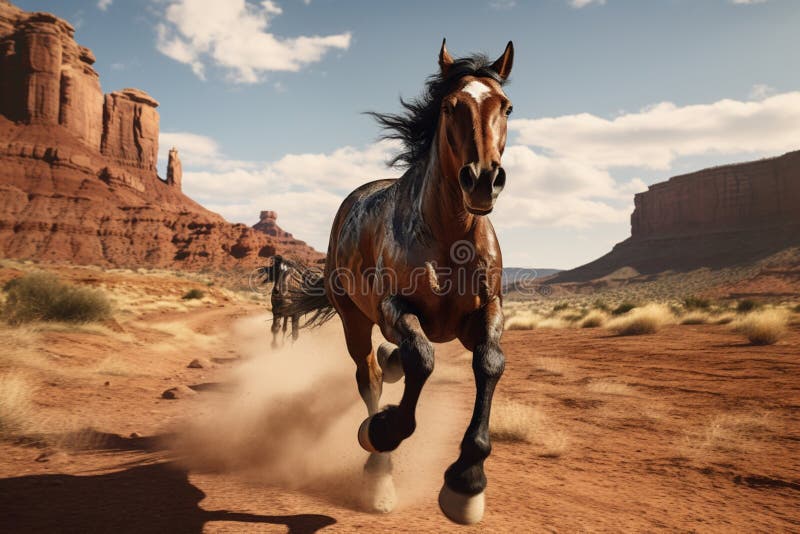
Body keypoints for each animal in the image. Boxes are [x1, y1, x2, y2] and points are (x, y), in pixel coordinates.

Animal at [286, 39, 514, 524]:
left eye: (506, 106)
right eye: (450, 106)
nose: (483, 179)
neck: (449, 238)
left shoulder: (485, 313)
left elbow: (489, 363)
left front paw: (467, 482)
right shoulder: (396, 310)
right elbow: (422, 362)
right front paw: (383, 431)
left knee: (388, 364)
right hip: (354, 319)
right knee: (369, 376)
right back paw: (378, 474)